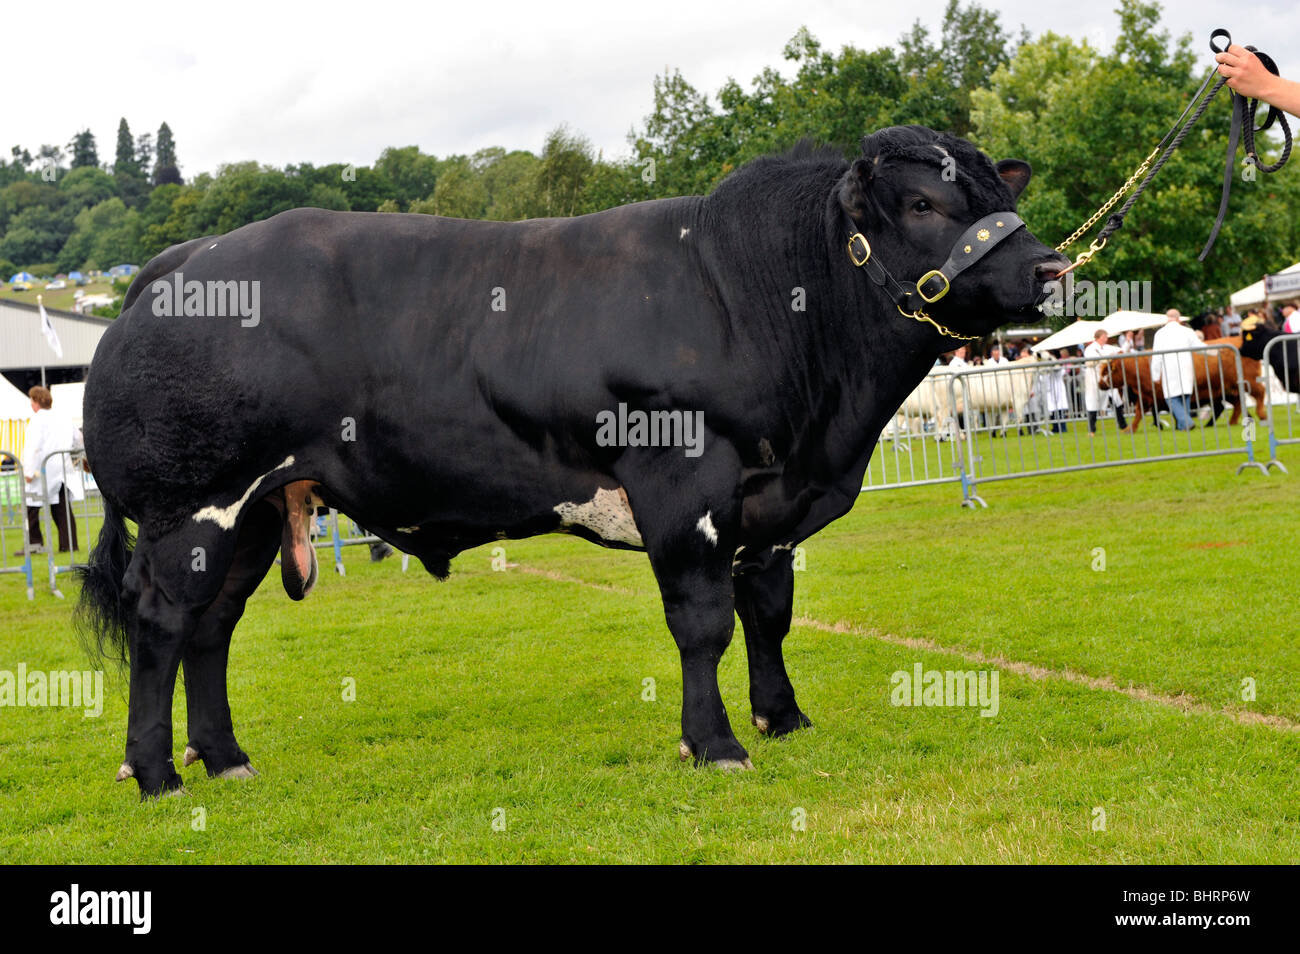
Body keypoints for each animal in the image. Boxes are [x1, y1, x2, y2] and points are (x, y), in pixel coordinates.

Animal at [77, 125, 1068, 798]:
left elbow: (770, 614)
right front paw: (715, 746)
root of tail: (180, 260)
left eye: (997, 187)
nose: (1052, 269)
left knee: (211, 629)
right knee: (163, 624)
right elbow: (703, 622)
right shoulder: (683, 483)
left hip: (253, 512)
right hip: (191, 509)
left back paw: (227, 759)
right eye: (923, 205)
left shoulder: (771, 508)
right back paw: (157, 773)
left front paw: (783, 718)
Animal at [1097, 340, 1259, 432]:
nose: (1099, 384)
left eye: (1107, 371)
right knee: (1232, 405)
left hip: (1227, 390)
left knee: (1233, 405)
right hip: (1223, 393)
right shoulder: (1148, 398)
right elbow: (1141, 413)